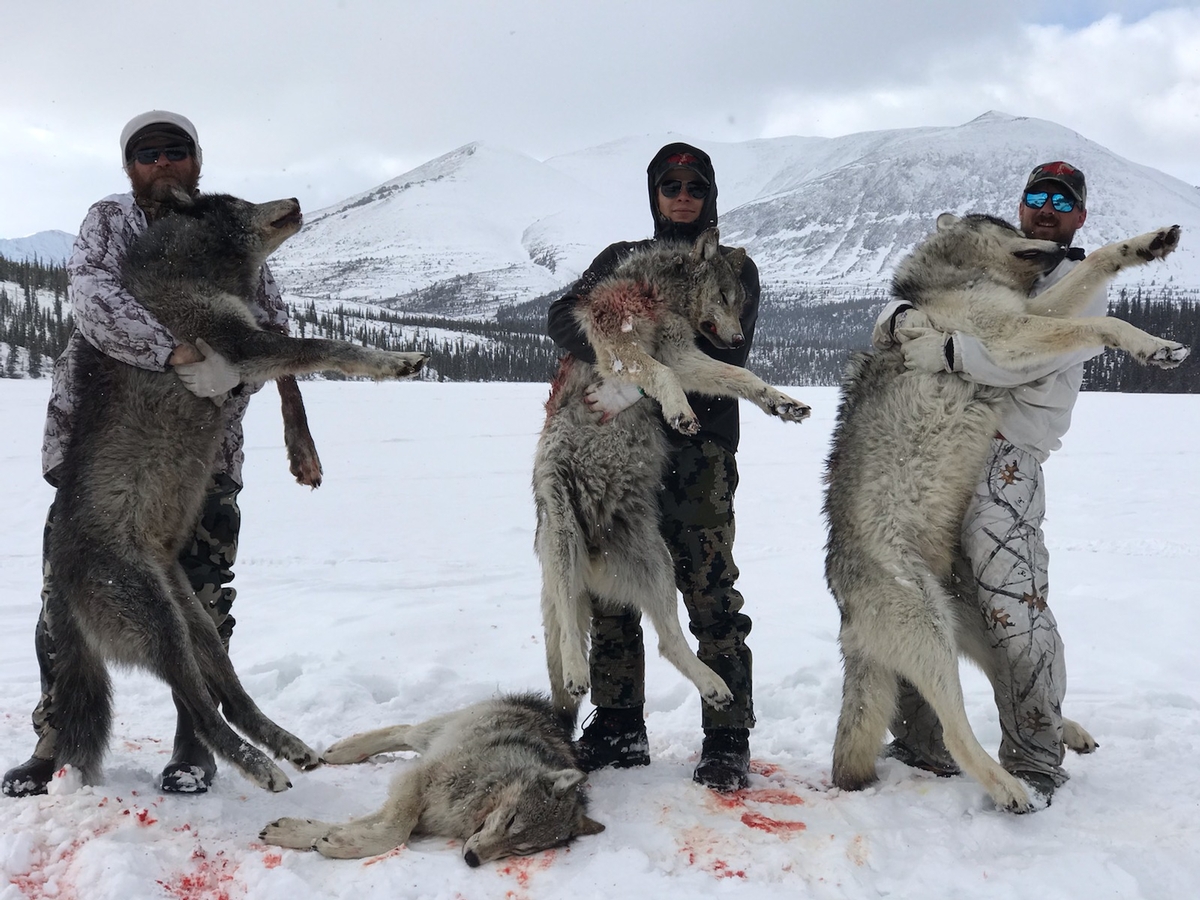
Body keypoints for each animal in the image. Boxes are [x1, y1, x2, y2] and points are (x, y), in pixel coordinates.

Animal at [46, 190, 428, 791]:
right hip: (159, 622)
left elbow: (298, 366)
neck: (189, 265)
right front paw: (397, 363)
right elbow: (324, 344)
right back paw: (259, 766)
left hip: (196, 621)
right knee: (201, 709)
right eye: (236, 202)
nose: (293, 198)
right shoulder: (238, 343)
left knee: (230, 696)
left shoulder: (245, 346)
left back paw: (290, 747)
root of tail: (60, 582)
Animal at [260, 694, 605, 866]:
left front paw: (307, 835)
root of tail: (541, 709)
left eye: (521, 850)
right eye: (510, 820)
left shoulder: (424, 813)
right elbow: (394, 832)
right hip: (434, 734)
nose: (472, 860)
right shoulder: (418, 781)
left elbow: (348, 826)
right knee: (403, 730)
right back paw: (343, 751)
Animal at [824, 213, 1187, 812]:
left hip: (985, 625)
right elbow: (1103, 322)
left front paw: (1146, 245)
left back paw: (1070, 733)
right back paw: (1012, 790)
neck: (951, 279)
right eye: (1011, 223)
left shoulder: (1027, 313)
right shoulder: (1005, 335)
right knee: (957, 730)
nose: (1068, 245)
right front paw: (1154, 346)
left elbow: (1097, 274)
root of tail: (845, 616)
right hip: (933, 632)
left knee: (1017, 685)